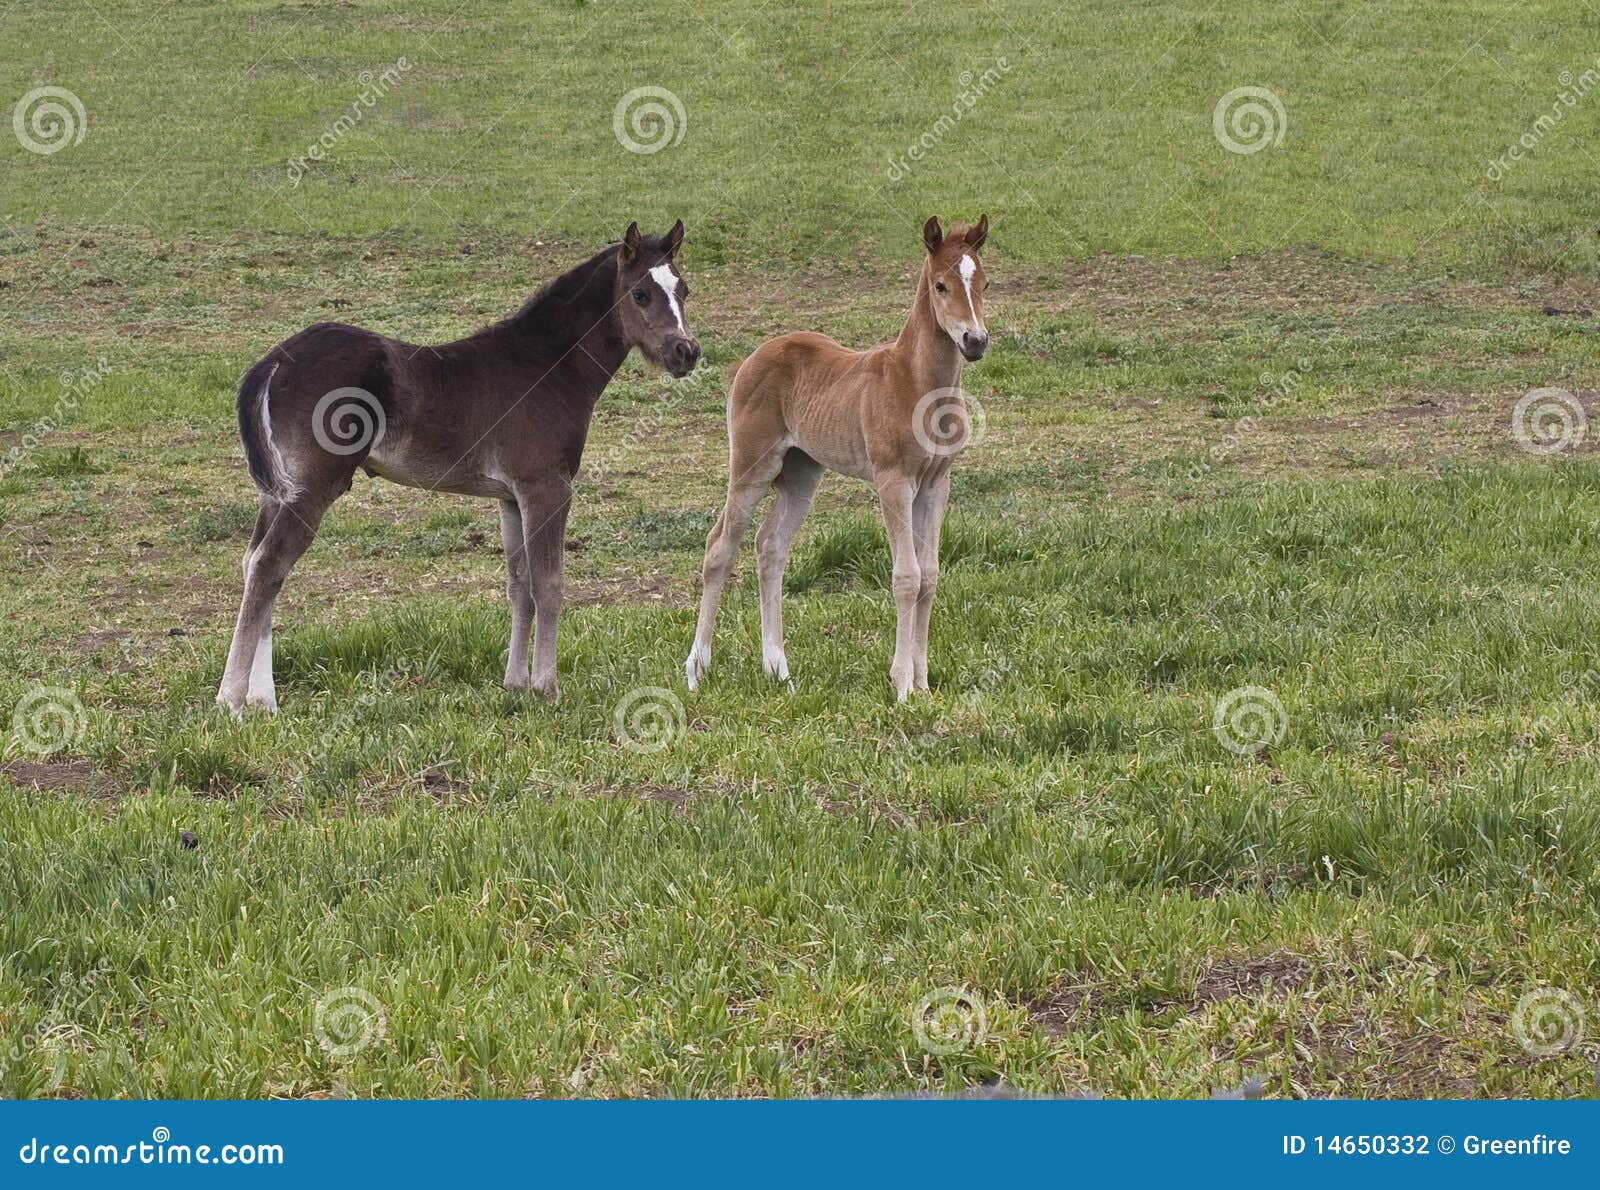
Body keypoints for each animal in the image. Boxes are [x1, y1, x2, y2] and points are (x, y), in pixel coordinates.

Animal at [217, 221, 700, 714]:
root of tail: (274, 361)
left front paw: (515, 684)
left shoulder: (510, 497)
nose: (687, 352)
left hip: (276, 493)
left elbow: (519, 585)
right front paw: (547, 689)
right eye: (641, 294)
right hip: (312, 489)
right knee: (269, 564)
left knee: (252, 562)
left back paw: (263, 698)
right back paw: (231, 699)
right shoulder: (547, 487)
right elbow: (549, 585)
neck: (545, 366)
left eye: (684, 289)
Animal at [685, 215, 989, 701]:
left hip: (801, 475)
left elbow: (930, 575)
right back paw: (697, 670)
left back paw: (779, 671)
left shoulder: (935, 484)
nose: (975, 340)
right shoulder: (893, 481)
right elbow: (906, 577)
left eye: (984, 283)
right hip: (752, 467)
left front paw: (923, 684)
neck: (915, 380)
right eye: (940, 286)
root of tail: (752, 357)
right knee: (720, 548)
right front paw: (901, 686)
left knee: (770, 547)